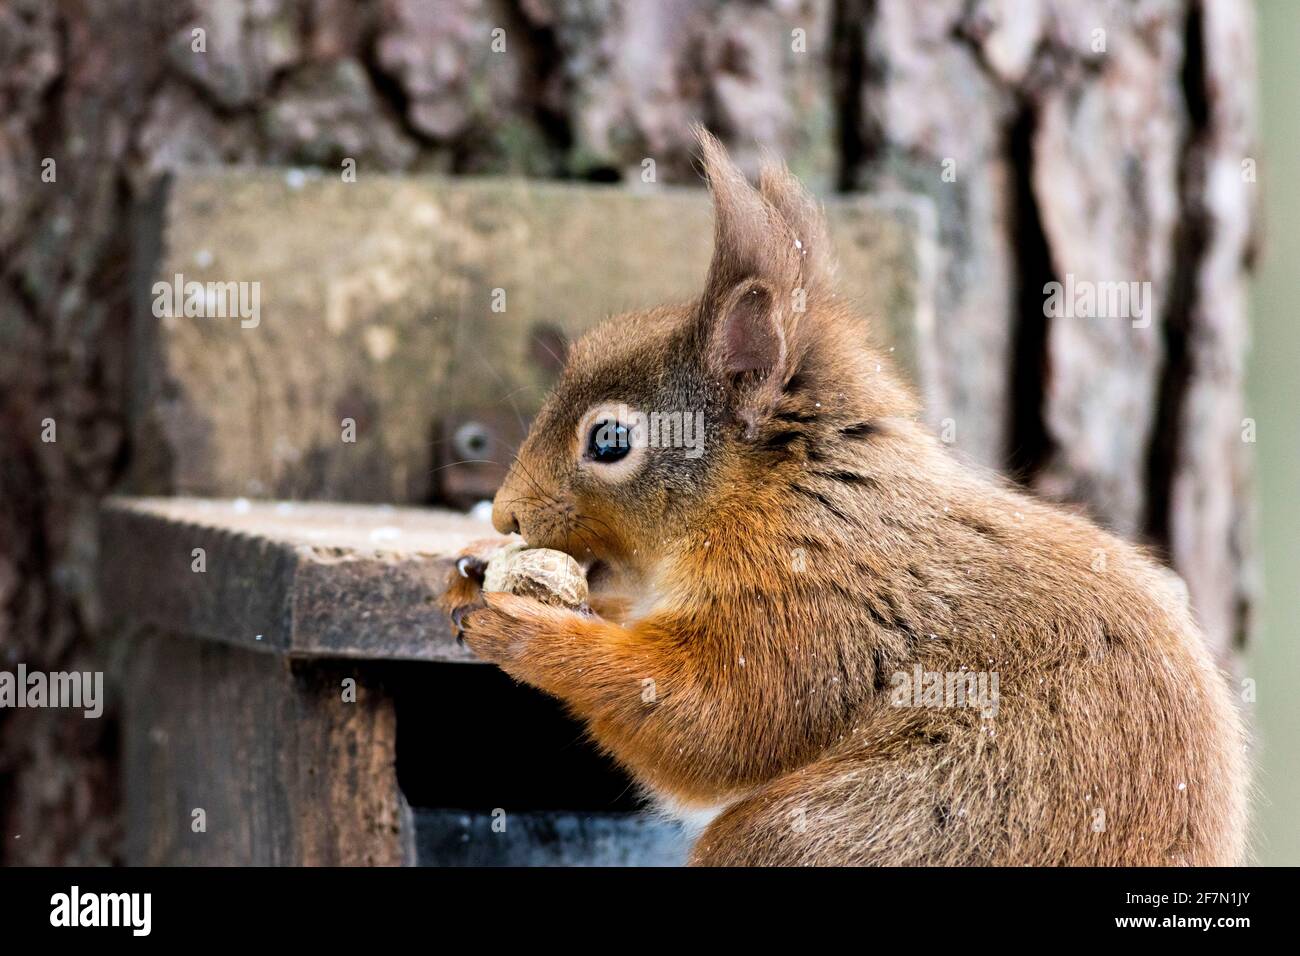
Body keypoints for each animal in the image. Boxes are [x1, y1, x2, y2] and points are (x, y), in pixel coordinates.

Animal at [441, 127, 1248, 866]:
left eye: (609, 441)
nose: (506, 513)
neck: (784, 493)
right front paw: (474, 572)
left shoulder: (815, 601)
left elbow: (713, 722)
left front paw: (525, 631)